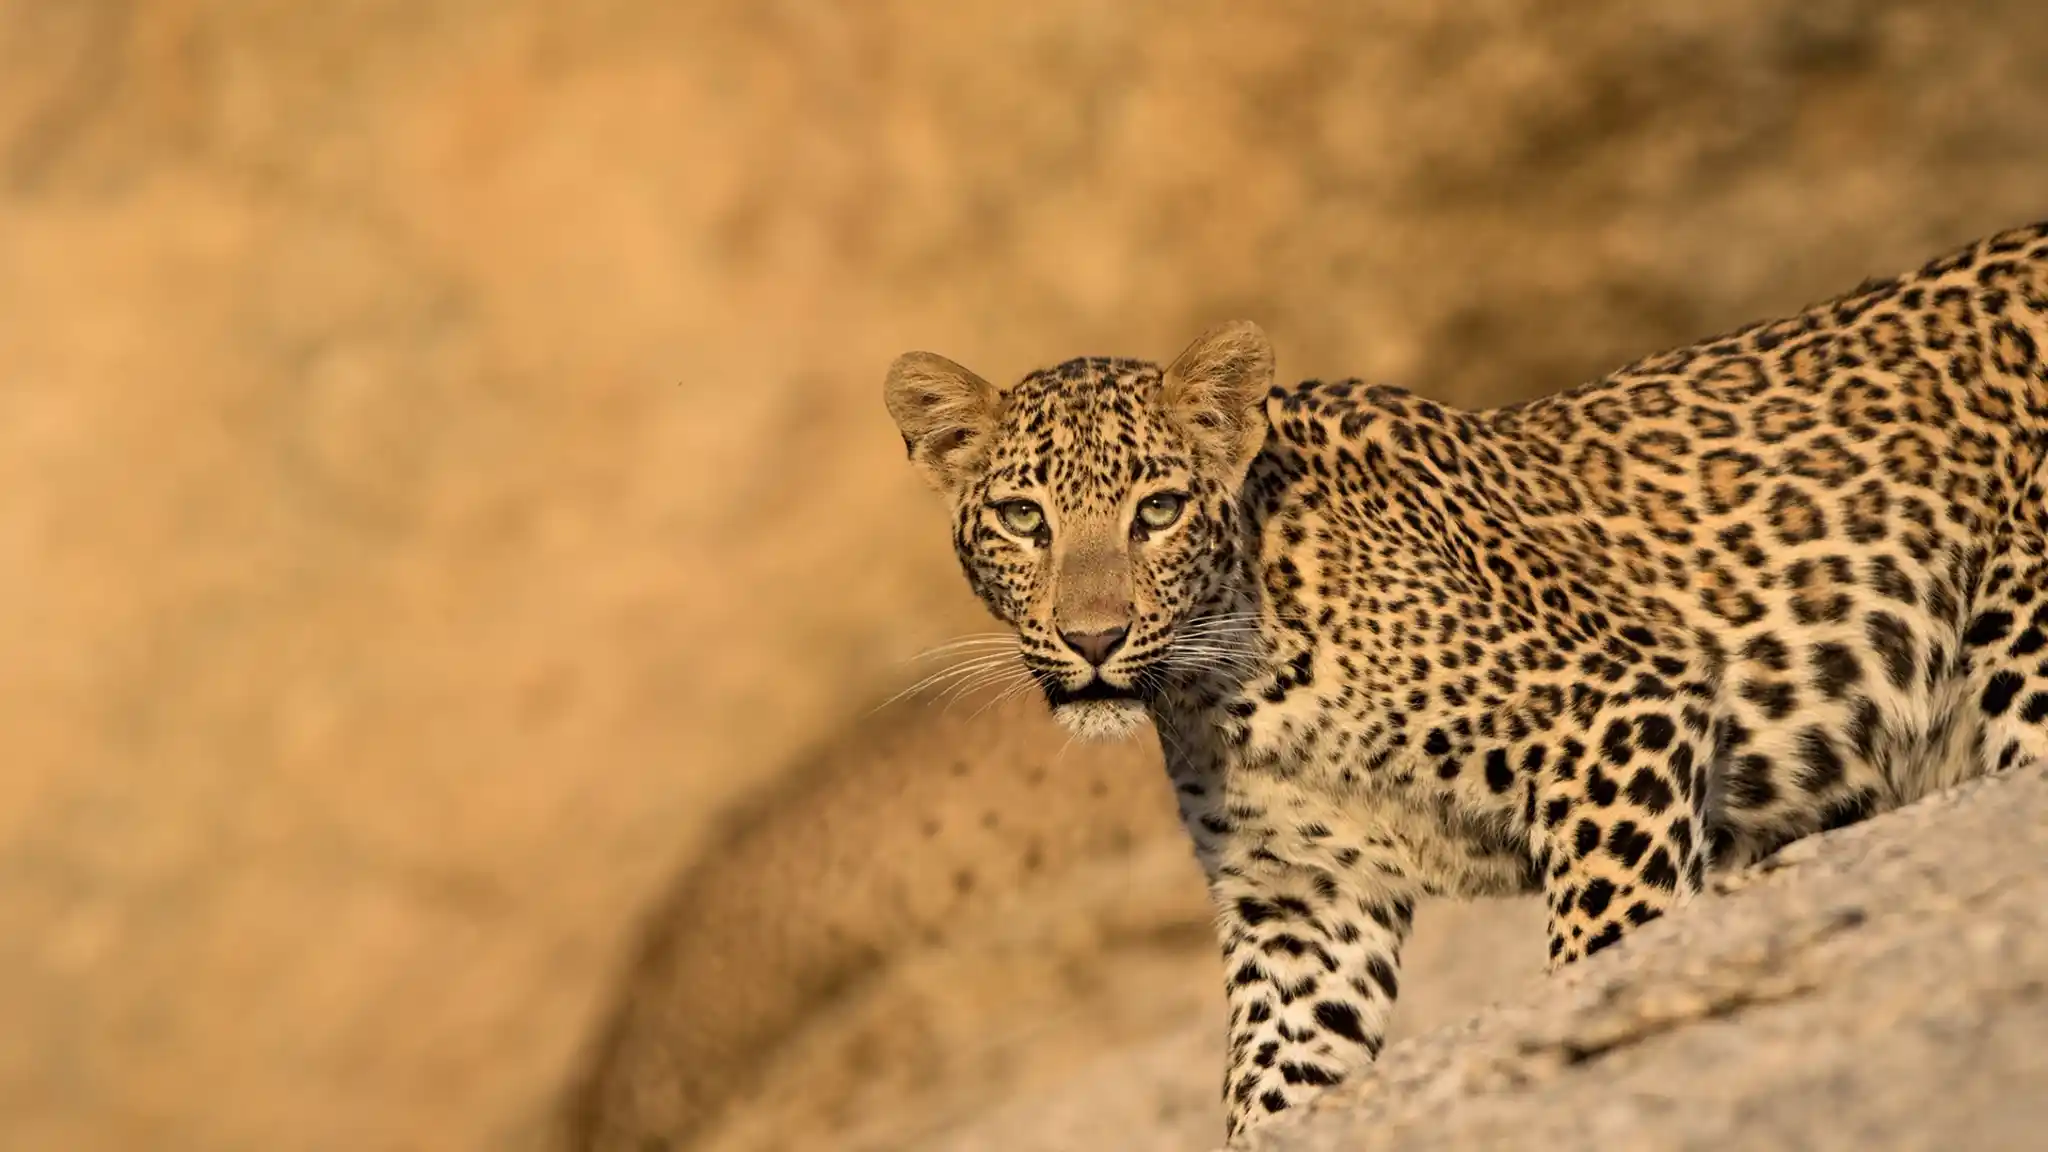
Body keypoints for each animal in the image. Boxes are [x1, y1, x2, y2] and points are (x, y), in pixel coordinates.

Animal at [882, 220, 2048, 1140]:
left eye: (1157, 510)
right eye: (1022, 519)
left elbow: (1601, 942)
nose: (1093, 638)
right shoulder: (1298, 902)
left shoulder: (1621, 712)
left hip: (2017, 636)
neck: (1228, 685)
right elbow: (1271, 1084)